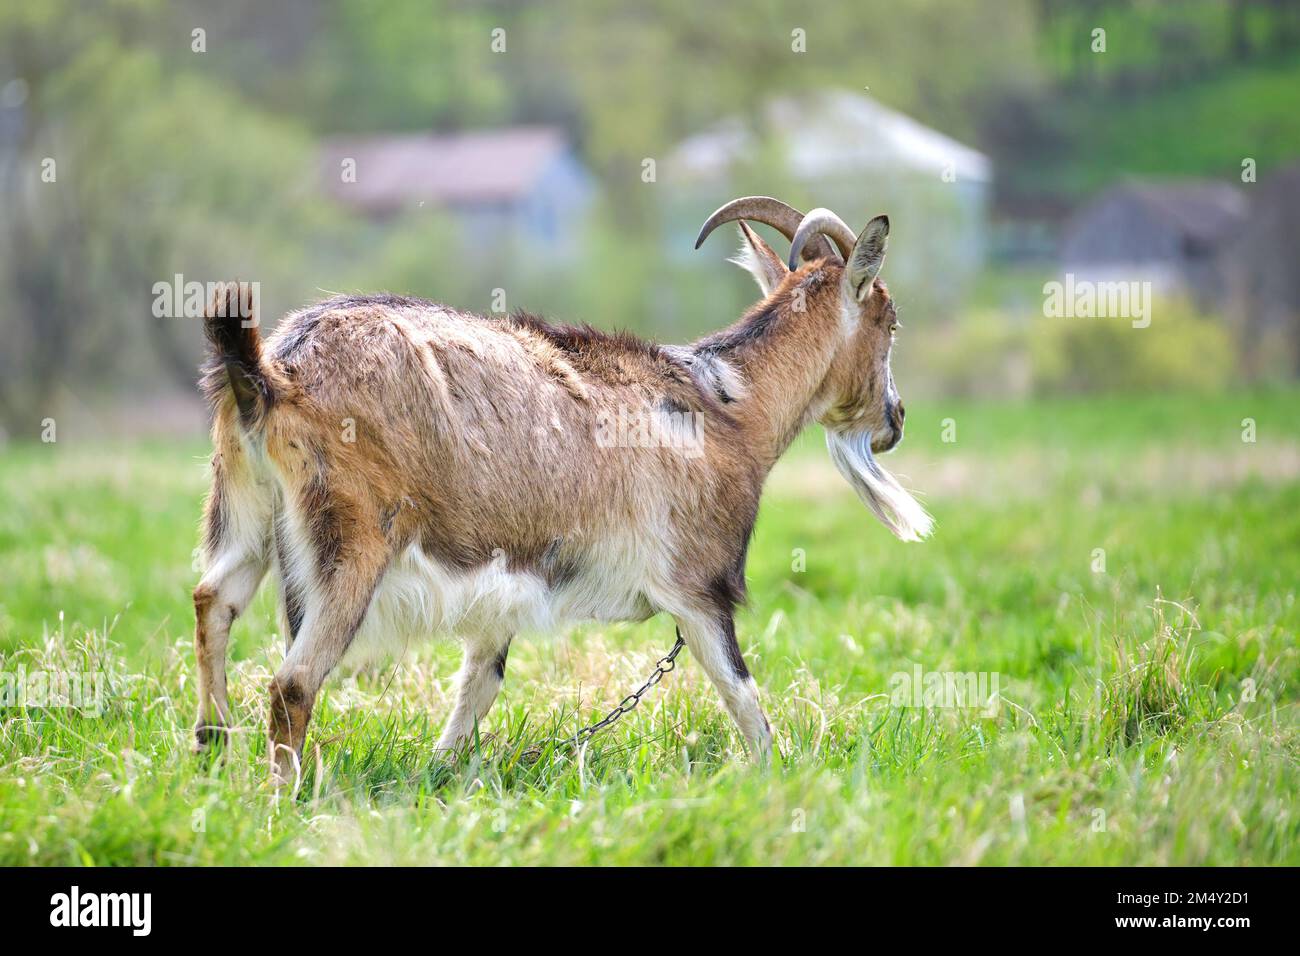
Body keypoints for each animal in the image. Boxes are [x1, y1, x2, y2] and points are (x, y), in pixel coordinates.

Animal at [192, 196, 932, 783]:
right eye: (890, 320)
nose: (896, 419)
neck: (729, 406)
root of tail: (276, 371)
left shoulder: (504, 588)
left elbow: (476, 690)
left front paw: (440, 775)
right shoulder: (699, 585)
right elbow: (743, 696)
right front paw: (778, 780)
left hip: (244, 512)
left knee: (213, 600)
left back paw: (211, 750)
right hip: (352, 547)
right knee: (292, 682)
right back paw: (281, 797)